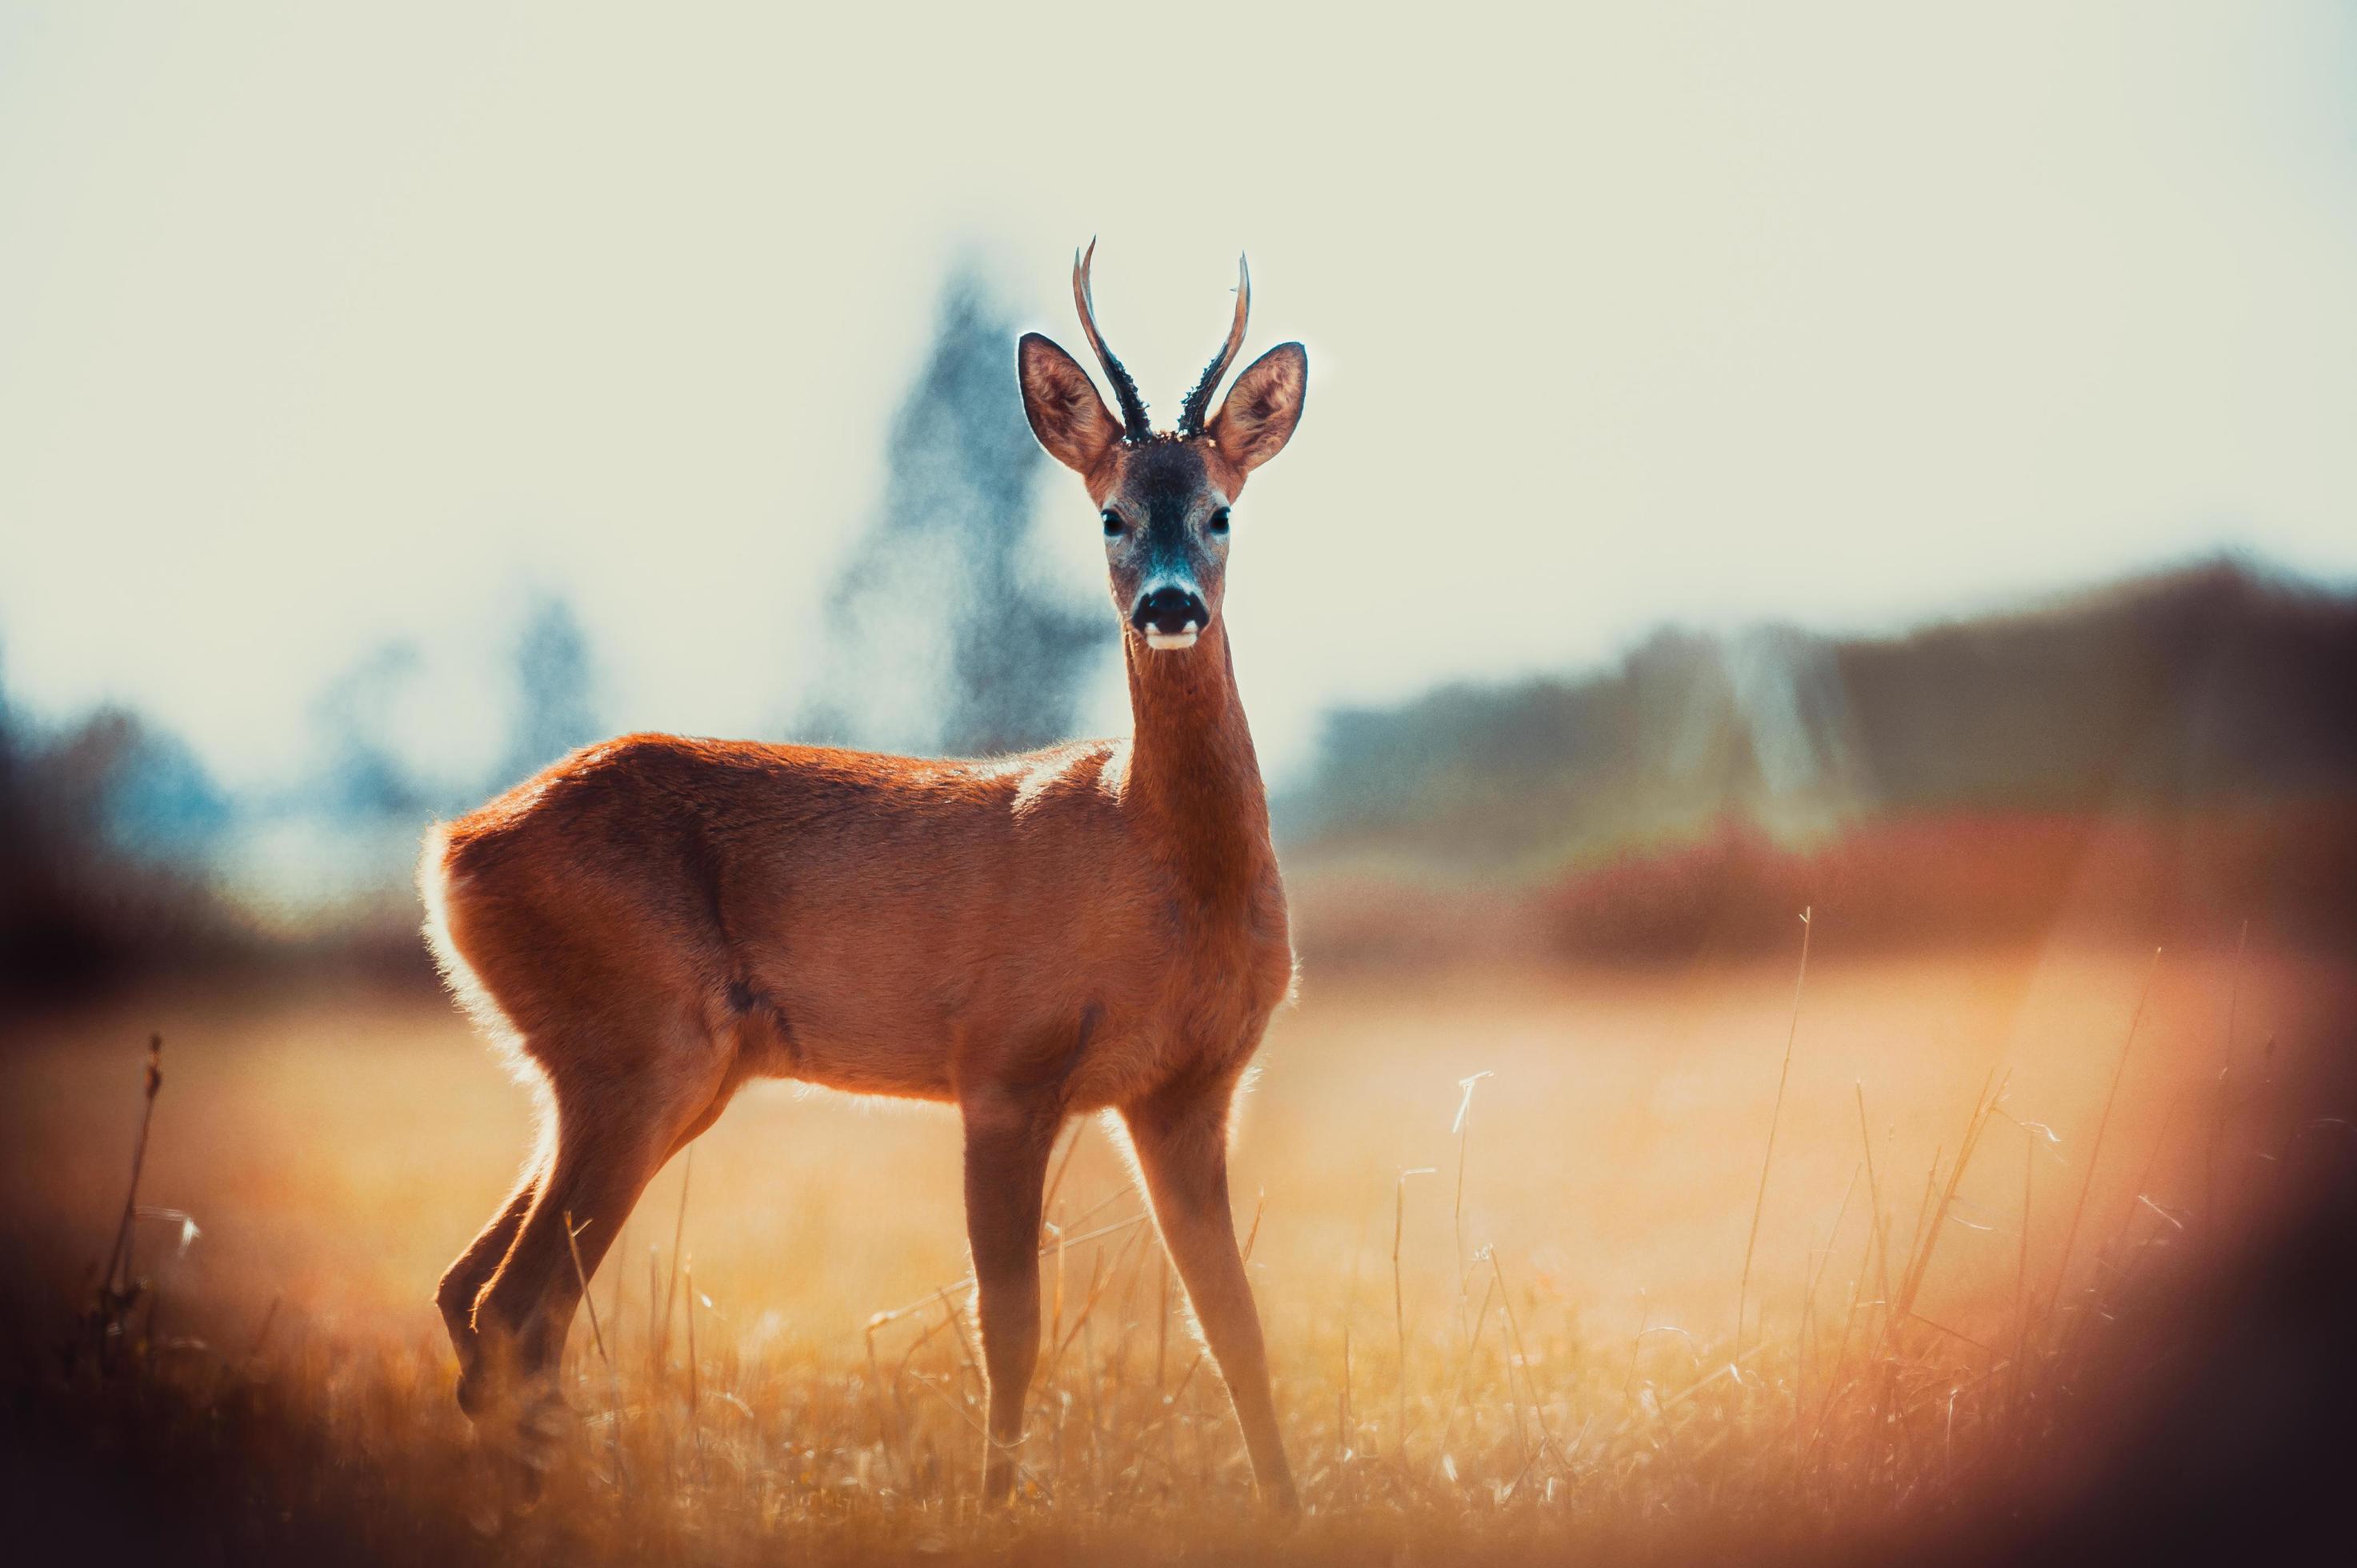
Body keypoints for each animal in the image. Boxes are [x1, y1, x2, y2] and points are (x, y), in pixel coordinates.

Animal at [421, 243, 1309, 1509]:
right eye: (1112, 514)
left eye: (1220, 510)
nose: (1170, 605)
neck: (1158, 857)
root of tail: (454, 848)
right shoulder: (1004, 1064)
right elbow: (1011, 1327)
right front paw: (994, 1514)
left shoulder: (1187, 1090)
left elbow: (1234, 1328)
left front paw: (1288, 1513)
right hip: (639, 1049)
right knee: (514, 1307)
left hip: (650, 1076)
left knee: (469, 1291)